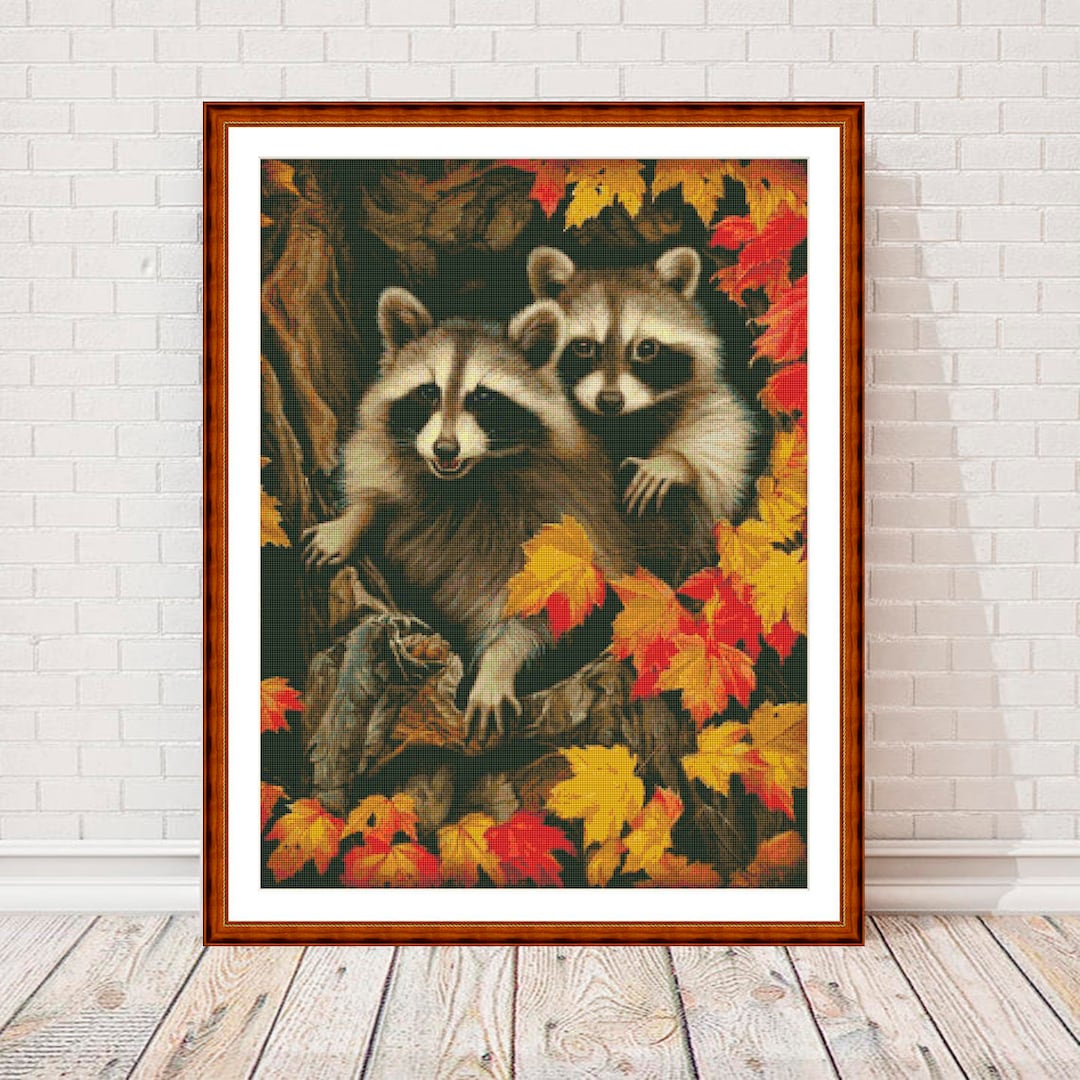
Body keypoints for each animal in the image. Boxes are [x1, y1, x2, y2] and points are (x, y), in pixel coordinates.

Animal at [303, 287, 632, 740]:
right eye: (428, 391)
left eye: (483, 396)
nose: (445, 449)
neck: (462, 481)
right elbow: (376, 481)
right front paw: (351, 518)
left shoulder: (551, 515)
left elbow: (536, 605)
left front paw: (497, 665)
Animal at [523, 245, 755, 582]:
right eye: (583, 346)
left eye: (646, 348)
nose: (610, 400)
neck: (619, 424)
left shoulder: (698, 399)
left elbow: (726, 443)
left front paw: (676, 462)